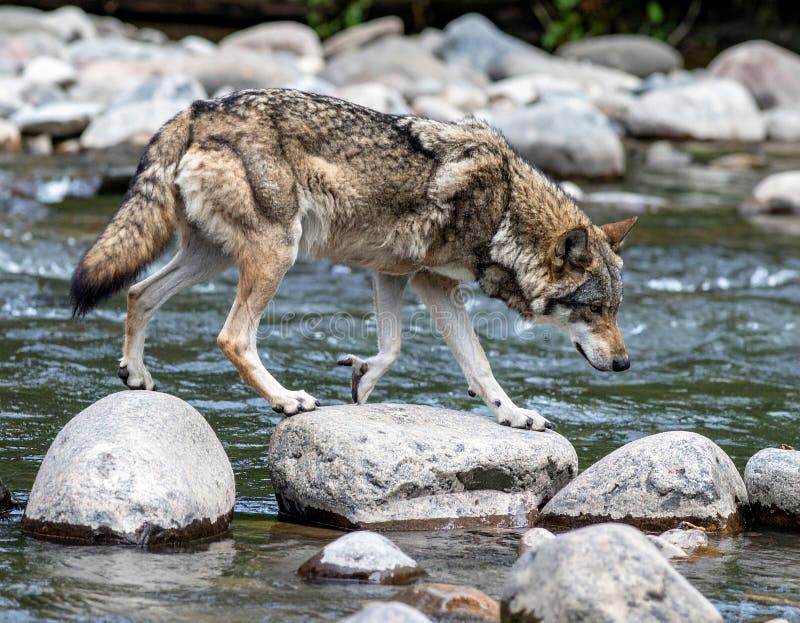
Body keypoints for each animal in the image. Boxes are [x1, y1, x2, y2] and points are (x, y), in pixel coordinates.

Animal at [71, 88, 636, 431]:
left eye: (615, 310)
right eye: (594, 310)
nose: (625, 364)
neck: (506, 210)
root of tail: (198, 108)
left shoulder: (401, 276)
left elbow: (441, 357)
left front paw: (513, 416)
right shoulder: (428, 282)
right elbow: (464, 356)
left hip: (210, 257)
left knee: (138, 293)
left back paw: (136, 376)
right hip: (276, 255)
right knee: (232, 337)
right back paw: (286, 400)